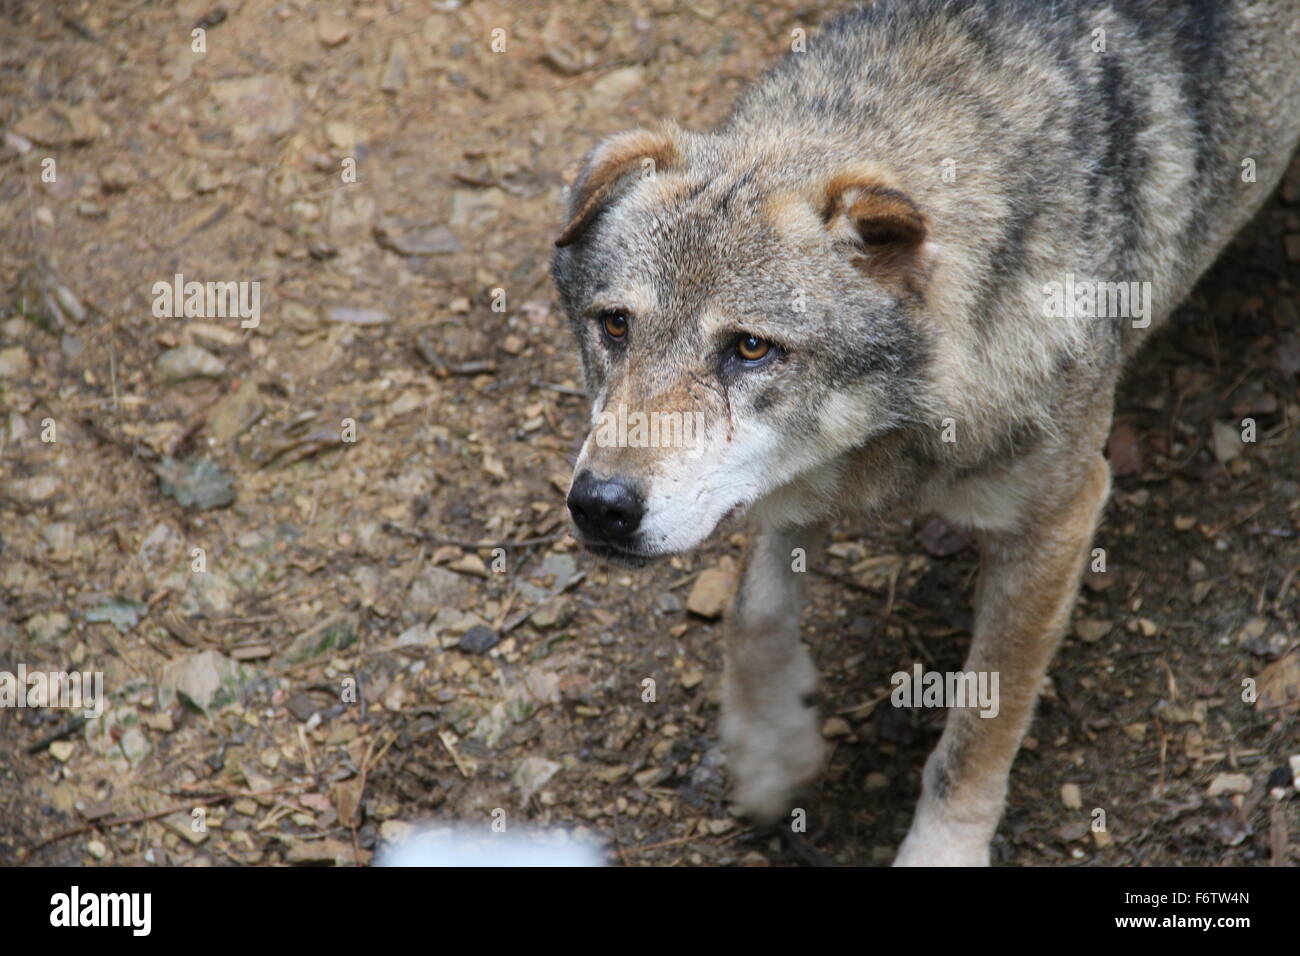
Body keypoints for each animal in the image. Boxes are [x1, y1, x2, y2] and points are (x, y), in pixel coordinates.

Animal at [551, 0, 1300, 865]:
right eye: (614, 326)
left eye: (749, 348)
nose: (600, 506)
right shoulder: (793, 481)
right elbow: (755, 613)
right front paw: (771, 752)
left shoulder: (1058, 521)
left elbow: (976, 734)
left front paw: (940, 849)